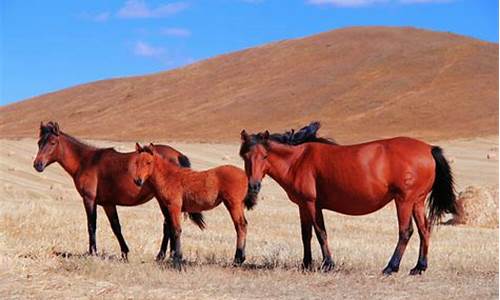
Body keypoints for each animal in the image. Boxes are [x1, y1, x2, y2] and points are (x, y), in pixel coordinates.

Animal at [33, 122, 205, 260]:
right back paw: (168, 255)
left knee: (168, 225)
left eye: (53, 142)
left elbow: (91, 225)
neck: (87, 162)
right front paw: (125, 253)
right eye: (39, 142)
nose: (37, 165)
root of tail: (177, 154)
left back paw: (163, 255)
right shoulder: (108, 204)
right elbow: (116, 227)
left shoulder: (89, 199)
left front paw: (92, 253)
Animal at [239, 121, 458, 274]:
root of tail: (429, 148)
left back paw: (391, 267)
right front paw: (306, 264)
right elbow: (306, 235)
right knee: (424, 230)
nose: (254, 185)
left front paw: (328, 264)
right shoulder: (303, 206)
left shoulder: (312, 204)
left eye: (264, 156)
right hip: (417, 202)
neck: (298, 160)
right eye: (245, 156)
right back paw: (419, 267)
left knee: (406, 231)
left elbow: (320, 233)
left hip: (404, 201)